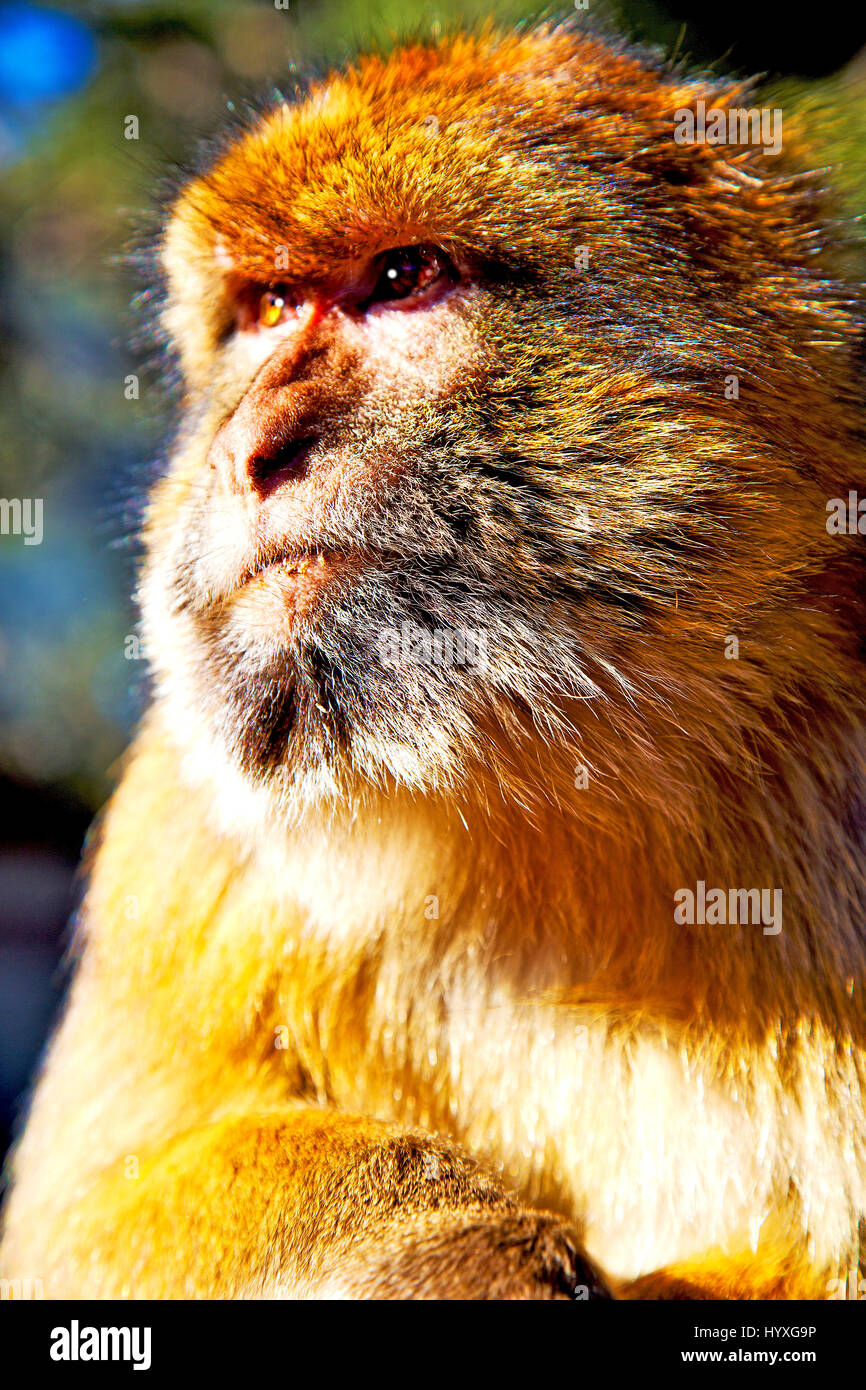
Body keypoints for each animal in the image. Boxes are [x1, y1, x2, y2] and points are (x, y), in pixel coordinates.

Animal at [2, 18, 866, 1301]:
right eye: (269, 307)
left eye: (403, 279)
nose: (247, 448)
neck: (562, 795)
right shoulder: (185, 837)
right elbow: (71, 1227)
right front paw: (437, 1240)